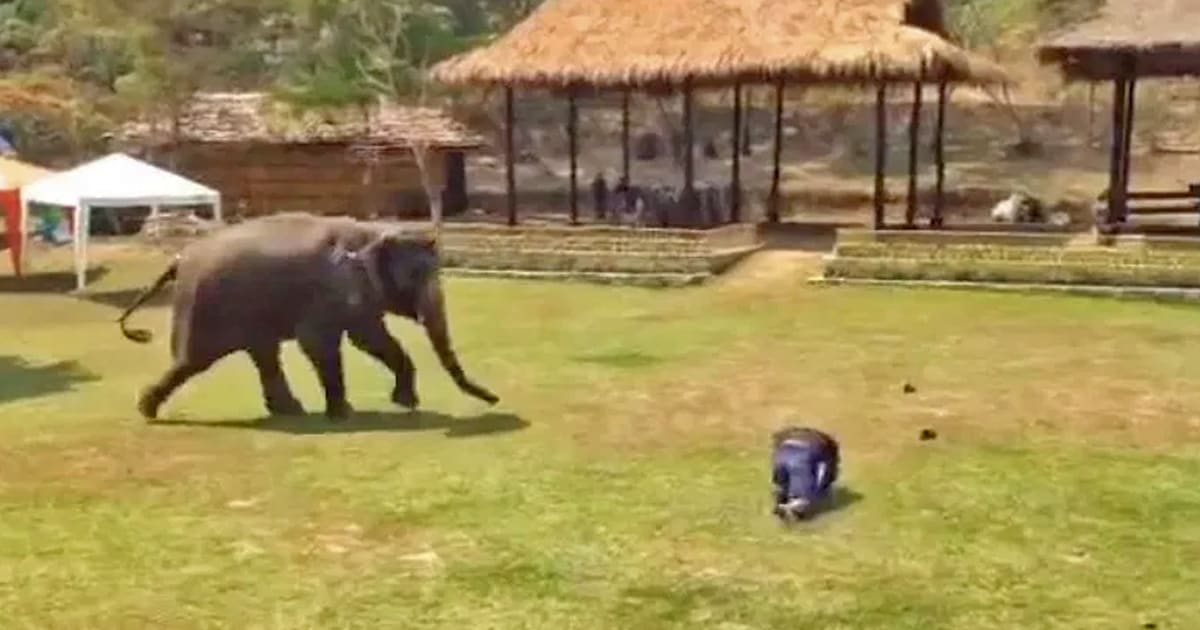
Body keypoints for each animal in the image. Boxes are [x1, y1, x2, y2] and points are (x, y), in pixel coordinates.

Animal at [116, 212, 499, 420]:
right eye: (418, 275)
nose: (495, 399)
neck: (372, 232)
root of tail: (179, 259)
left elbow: (371, 338)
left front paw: (405, 403)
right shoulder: (332, 289)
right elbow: (321, 342)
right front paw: (344, 415)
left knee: (263, 354)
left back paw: (289, 410)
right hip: (203, 307)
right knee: (192, 361)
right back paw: (146, 410)